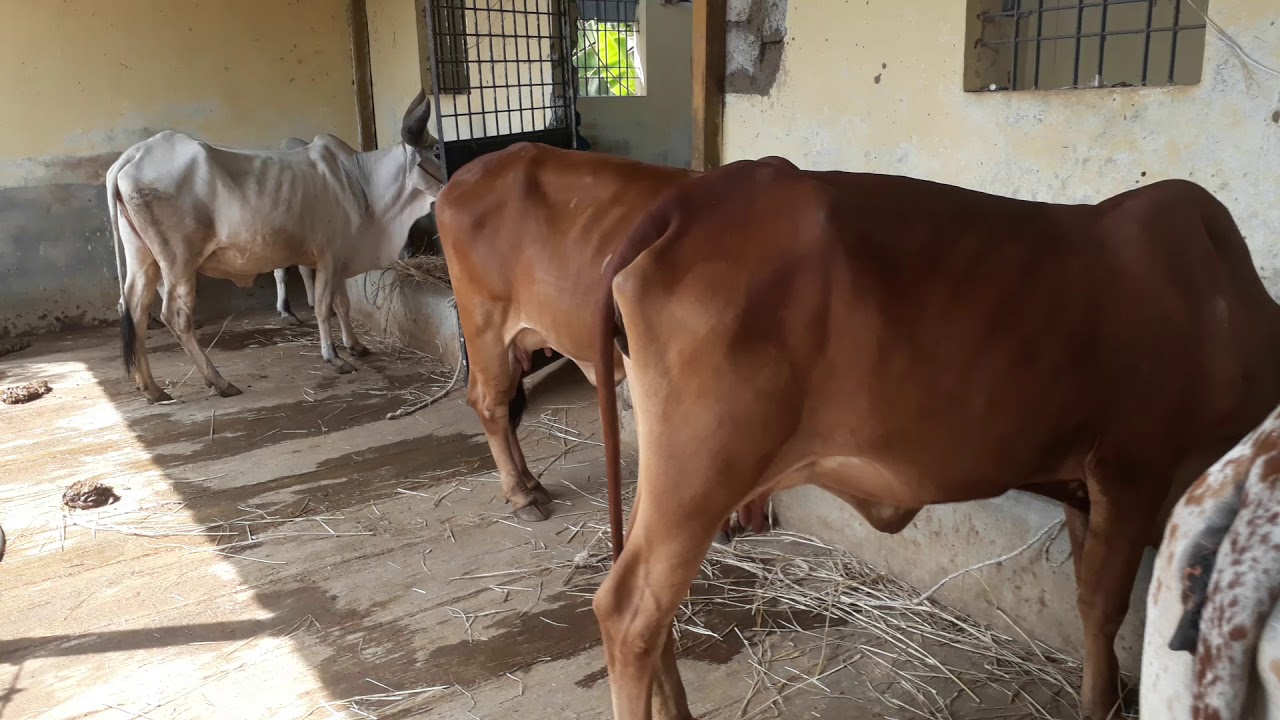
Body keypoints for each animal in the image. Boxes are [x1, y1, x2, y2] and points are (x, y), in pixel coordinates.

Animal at [108, 91, 443, 403]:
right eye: (437, 150)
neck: (360, 181)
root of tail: (133, 155)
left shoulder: (340, 257)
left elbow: (343, 304)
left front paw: (355, 346)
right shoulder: (329, 258)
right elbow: (324, 306)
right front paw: (334, 358)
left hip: (144, 259)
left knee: (135, 312)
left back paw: (152, 388)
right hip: (178, 263)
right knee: (176, 317)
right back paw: (219, 382)